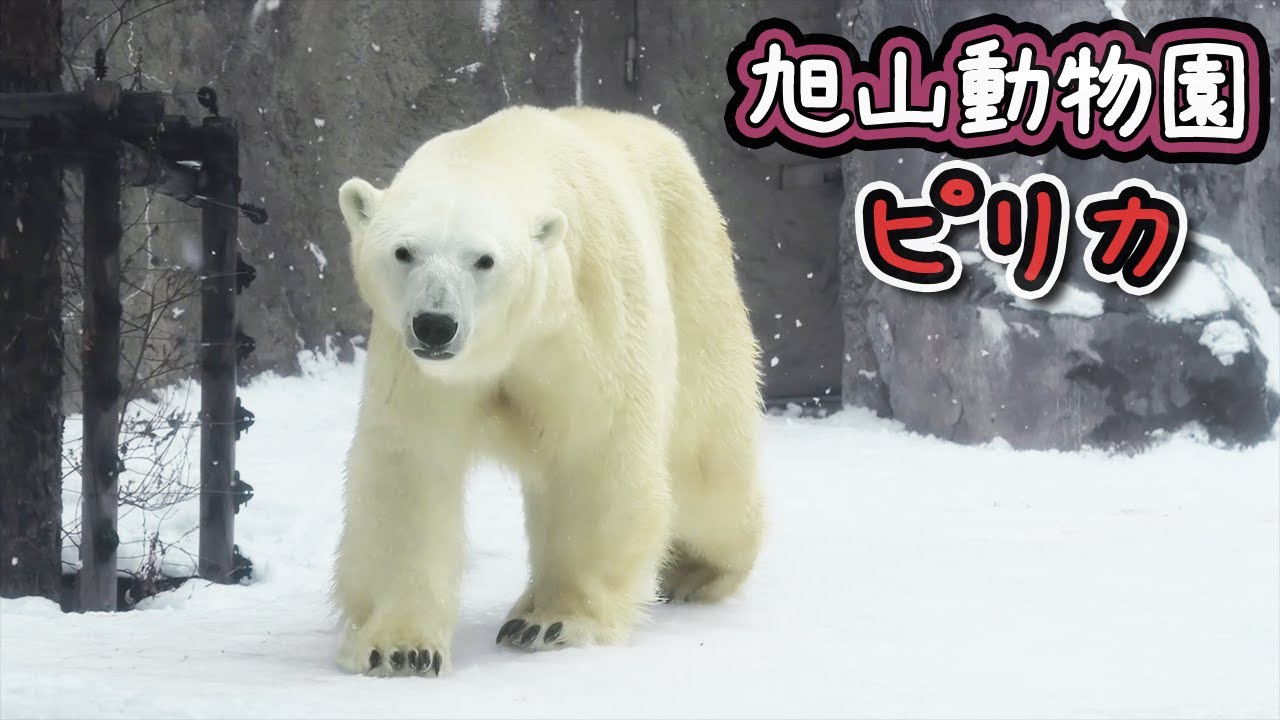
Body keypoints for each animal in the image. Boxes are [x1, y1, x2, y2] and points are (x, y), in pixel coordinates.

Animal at [332, 105, 765, 677]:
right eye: (404, 251)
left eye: (484, 259)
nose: (435, 325)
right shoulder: (415, 368)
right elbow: (410, 468)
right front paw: (400, 648)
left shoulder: (588, 323)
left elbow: (594, 456)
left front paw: (553, 624)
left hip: (694, 270)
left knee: (703, 462)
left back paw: (697, 569)